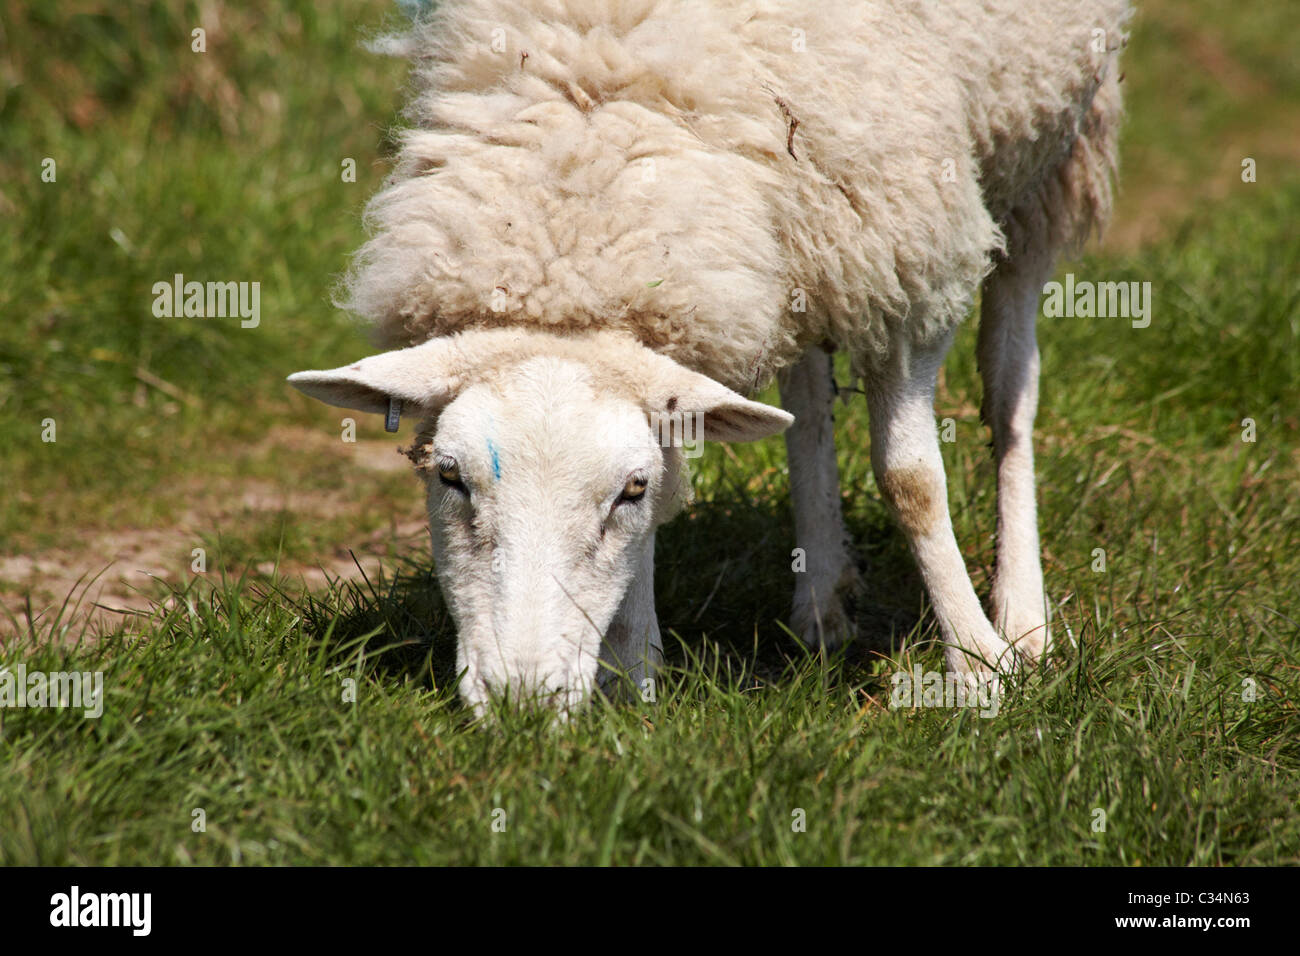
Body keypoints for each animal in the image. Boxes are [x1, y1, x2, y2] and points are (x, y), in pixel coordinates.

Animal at [289, 0, 1130, 713]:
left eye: (629, 491)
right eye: (448, 478)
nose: (523, 701)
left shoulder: (904, 262)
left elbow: (912, 480)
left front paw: (978, 667)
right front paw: (634, 673)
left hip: (1051, 148)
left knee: (1010, 392)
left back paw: (1022, 617)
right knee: (805, 400)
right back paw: (821, 600)